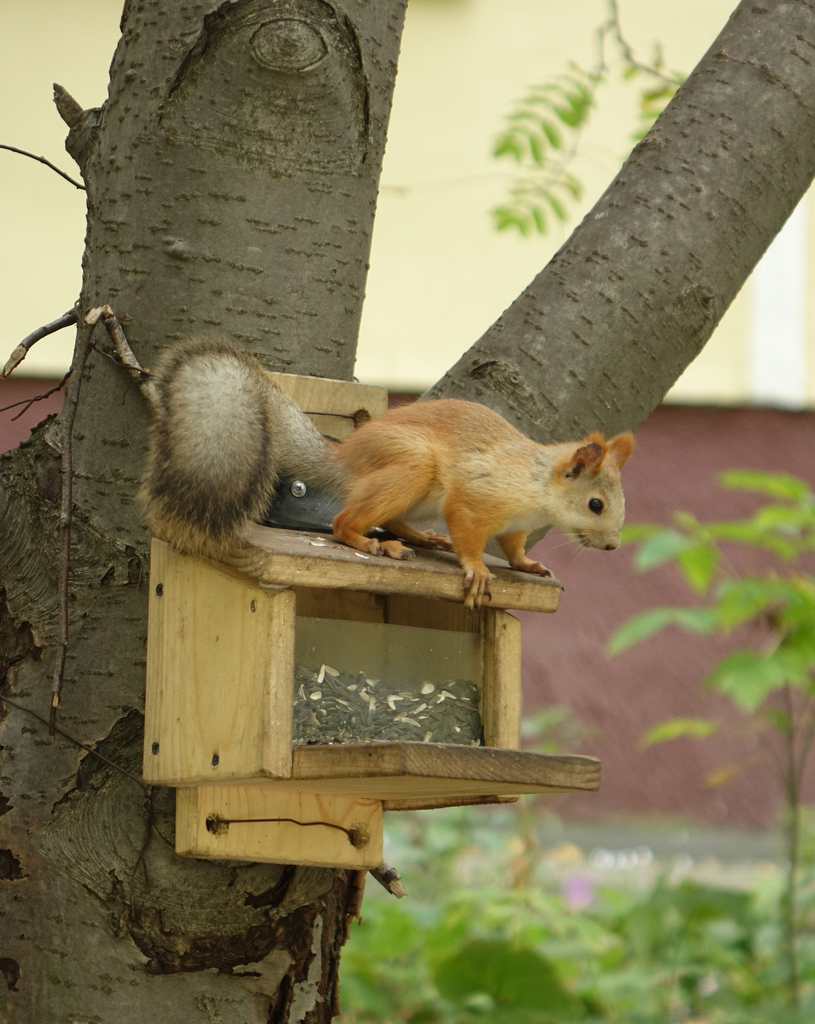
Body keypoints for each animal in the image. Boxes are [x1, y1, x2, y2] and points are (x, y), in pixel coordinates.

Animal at [142, 337, 635, 607]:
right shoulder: (478, 494)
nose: (612, 546)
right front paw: (476, 568)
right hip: (413, 467)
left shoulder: (515, 525)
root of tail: (346, 458)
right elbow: (468, 530)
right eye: (596, 504)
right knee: (343, 522)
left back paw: (422, 538)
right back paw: (373, 544)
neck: (535, 485)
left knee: (392, 519)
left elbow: (513, 548)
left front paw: (528, 564)